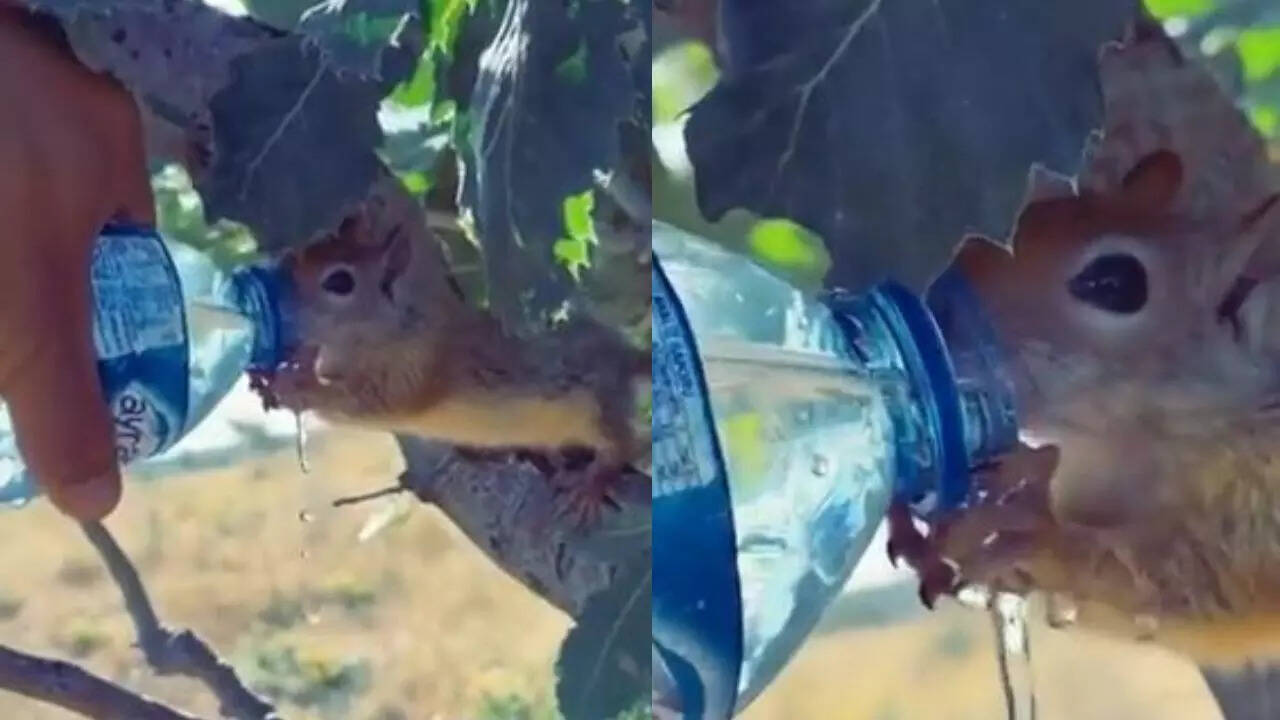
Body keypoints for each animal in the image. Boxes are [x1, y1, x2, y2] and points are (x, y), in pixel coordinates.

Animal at [254, 174, 651, 528]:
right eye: (298, 254)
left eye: (339, 281)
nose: (273, 300)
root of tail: (624, 356)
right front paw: (279, 371)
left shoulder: (419, 365)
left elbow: (366, 402)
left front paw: (295, 388)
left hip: (597, 402)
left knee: (622, 442)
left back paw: (594, 480)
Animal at [886, 19, 1280, 670]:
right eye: (1027, 213)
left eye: (1114, 282)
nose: (933, 302)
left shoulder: (1258, 514)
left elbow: (1196, 593)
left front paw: (1040, 534)